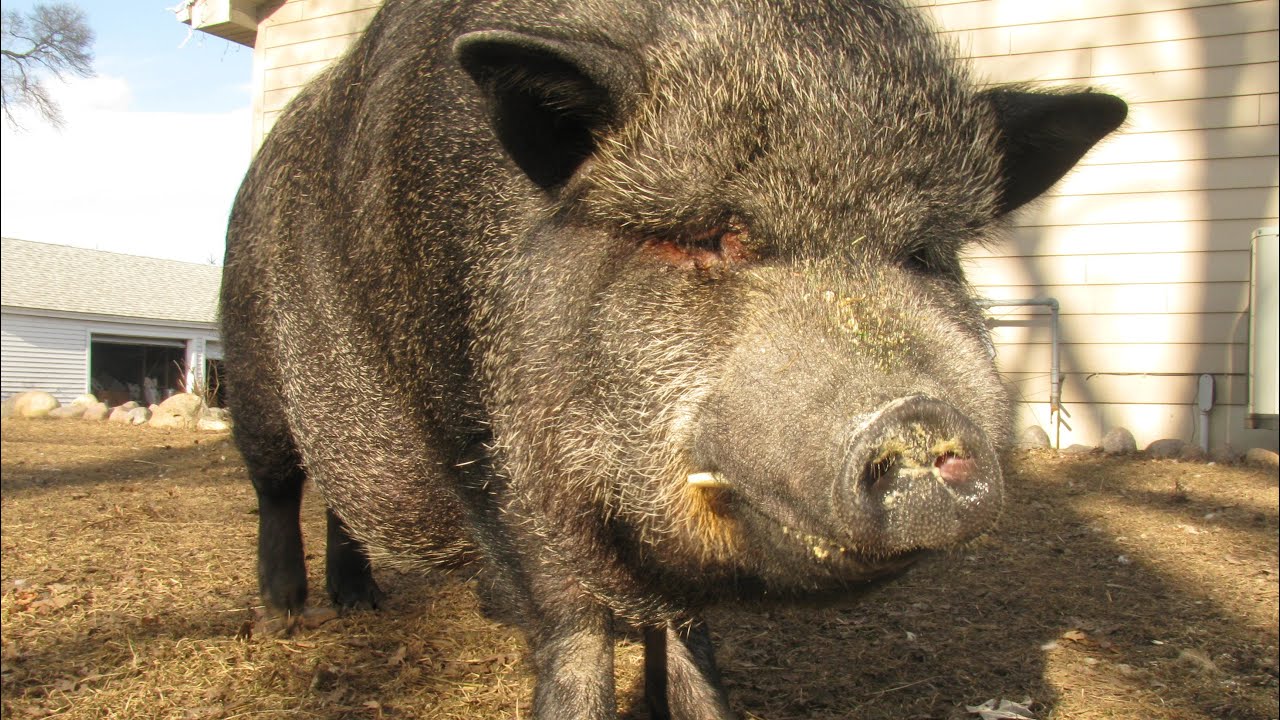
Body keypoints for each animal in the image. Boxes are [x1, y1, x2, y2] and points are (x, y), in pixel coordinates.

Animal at [220, 0, 1126, 717]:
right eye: (709, 237)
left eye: (924, 254)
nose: (917, 415)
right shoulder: (487, 458)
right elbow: (575, 638)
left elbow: (691, 640)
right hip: (253, 363)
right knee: (279, 484)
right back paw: (287, 614)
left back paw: (361, 606)